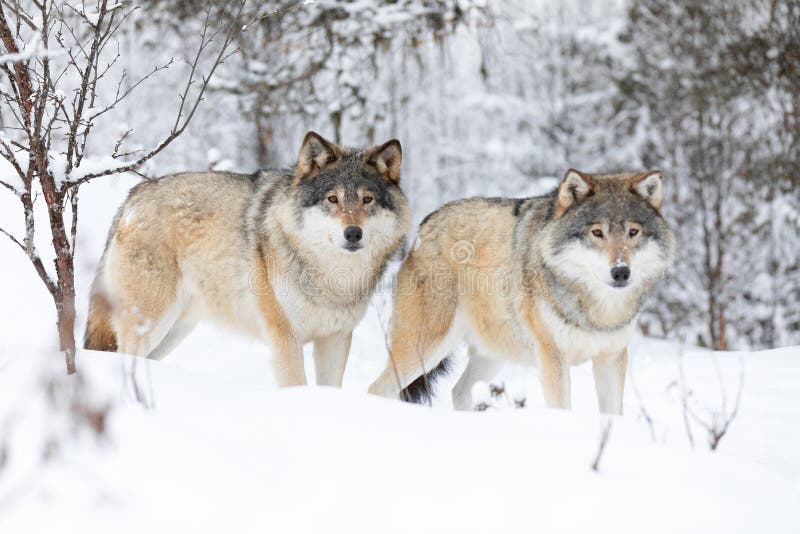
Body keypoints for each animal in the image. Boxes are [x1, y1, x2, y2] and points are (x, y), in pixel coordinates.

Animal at [84, 132, 410, 387]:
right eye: (333, 199)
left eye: (367, 200)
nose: (353, 233)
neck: (332, 278)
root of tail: (133, 196)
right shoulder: (284, 338)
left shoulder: (335, 338)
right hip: (150, 324)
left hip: (173, 332)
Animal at [368, 169, 674, 413]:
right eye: (597, 233)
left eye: (633, 232)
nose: (621, 272)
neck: (596, 310)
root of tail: (425, 226)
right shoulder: (553, 358)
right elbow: (561, 408)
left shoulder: (611, 358)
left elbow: (612, 414)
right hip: (425, 351)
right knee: (377, 389)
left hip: (492, 357)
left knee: (458, 390)